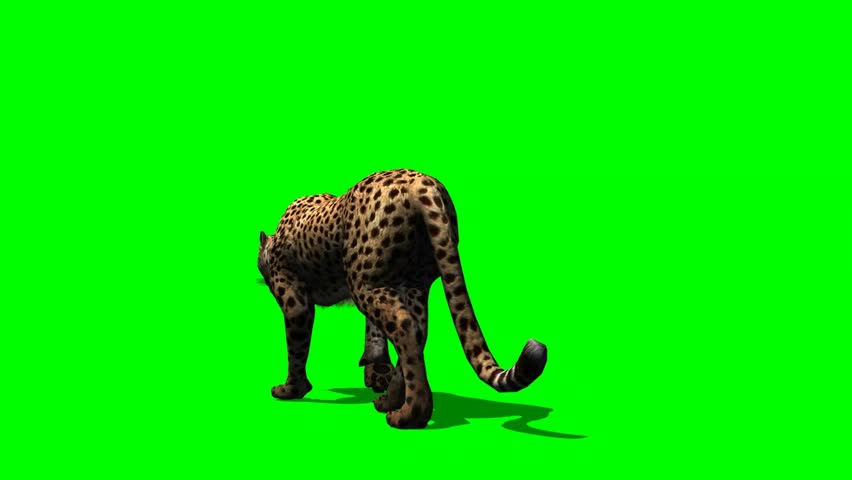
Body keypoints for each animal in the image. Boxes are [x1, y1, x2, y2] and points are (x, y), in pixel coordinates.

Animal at [257, 168, 547, 429]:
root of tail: (422, 183)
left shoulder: (297, 302)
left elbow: (296, 345)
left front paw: (291, 389)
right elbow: (374, 333)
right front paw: (374, 366)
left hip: (366, 283)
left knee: (403, 326)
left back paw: (409, 415)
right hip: (414, 283)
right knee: (417, 331)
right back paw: (390, 401)